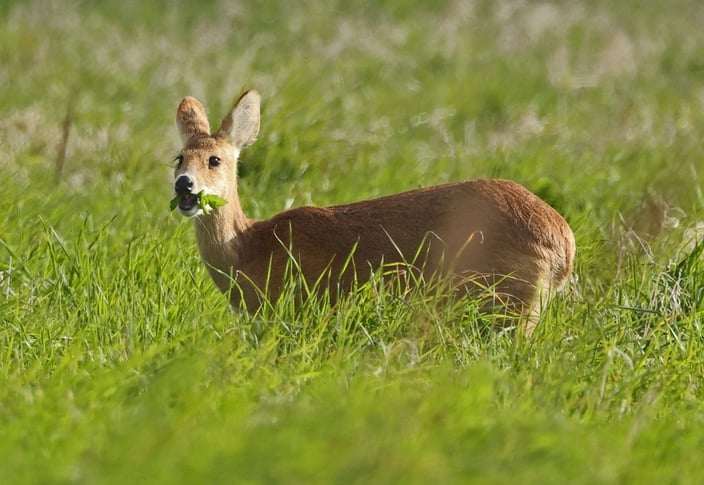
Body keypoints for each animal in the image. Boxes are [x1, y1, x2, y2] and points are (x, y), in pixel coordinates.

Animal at [172, 90, 576, 332]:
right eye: (179, 158)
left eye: (214, 159)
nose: (184, 185)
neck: (248, 250)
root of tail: (565, 244)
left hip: (511, 297)